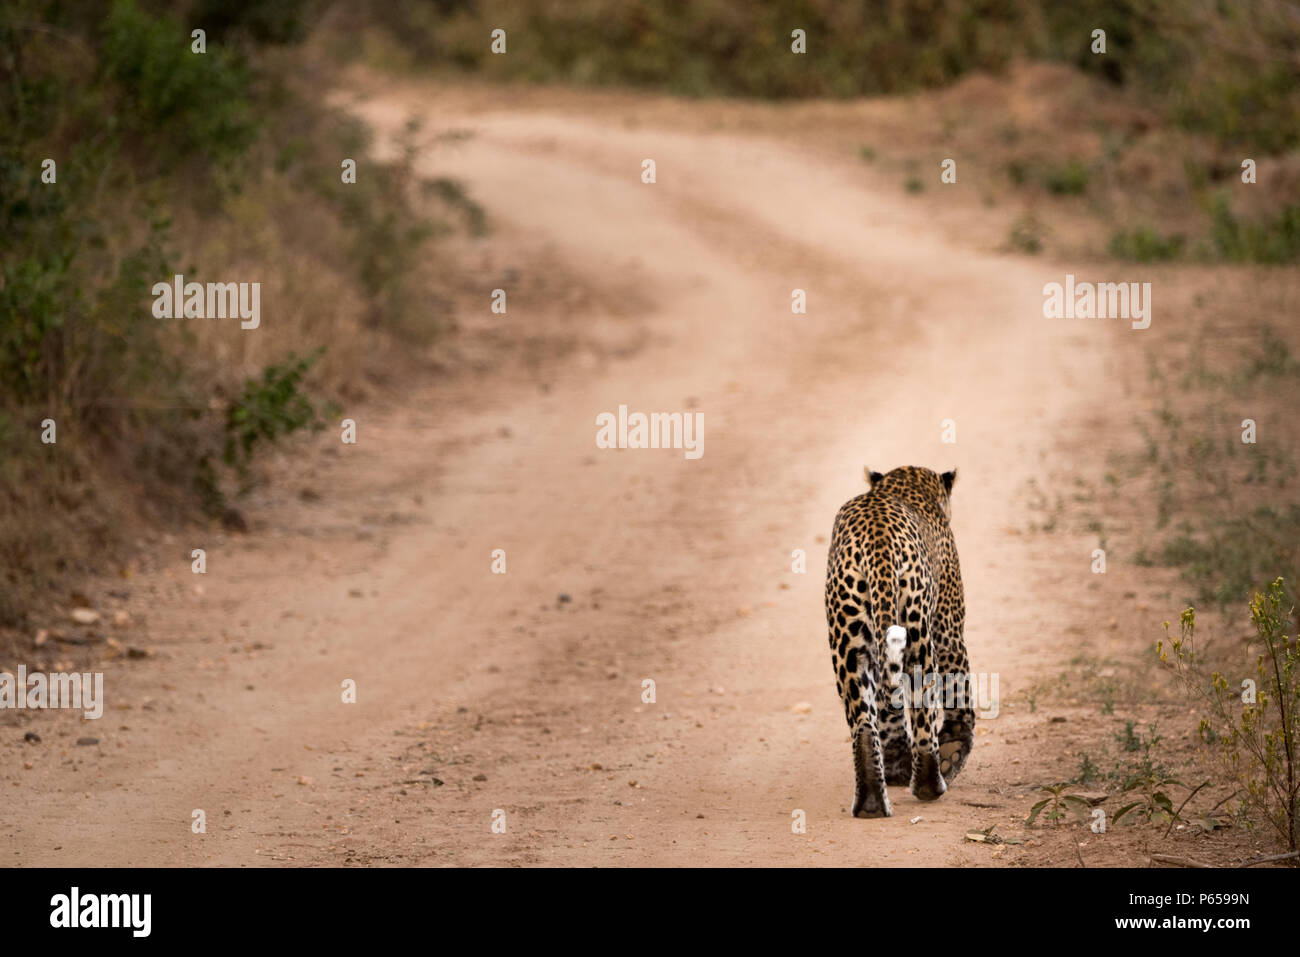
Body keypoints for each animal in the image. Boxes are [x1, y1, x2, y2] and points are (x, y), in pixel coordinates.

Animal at [824, 465, 975, 818]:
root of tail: (877, 541)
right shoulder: (948, 627)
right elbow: (957, 686)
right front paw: (956, 743)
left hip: (849, 639)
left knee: (864, 721)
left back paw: (871, 801)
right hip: (920, 632)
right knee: (923, 710)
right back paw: (930, 781)